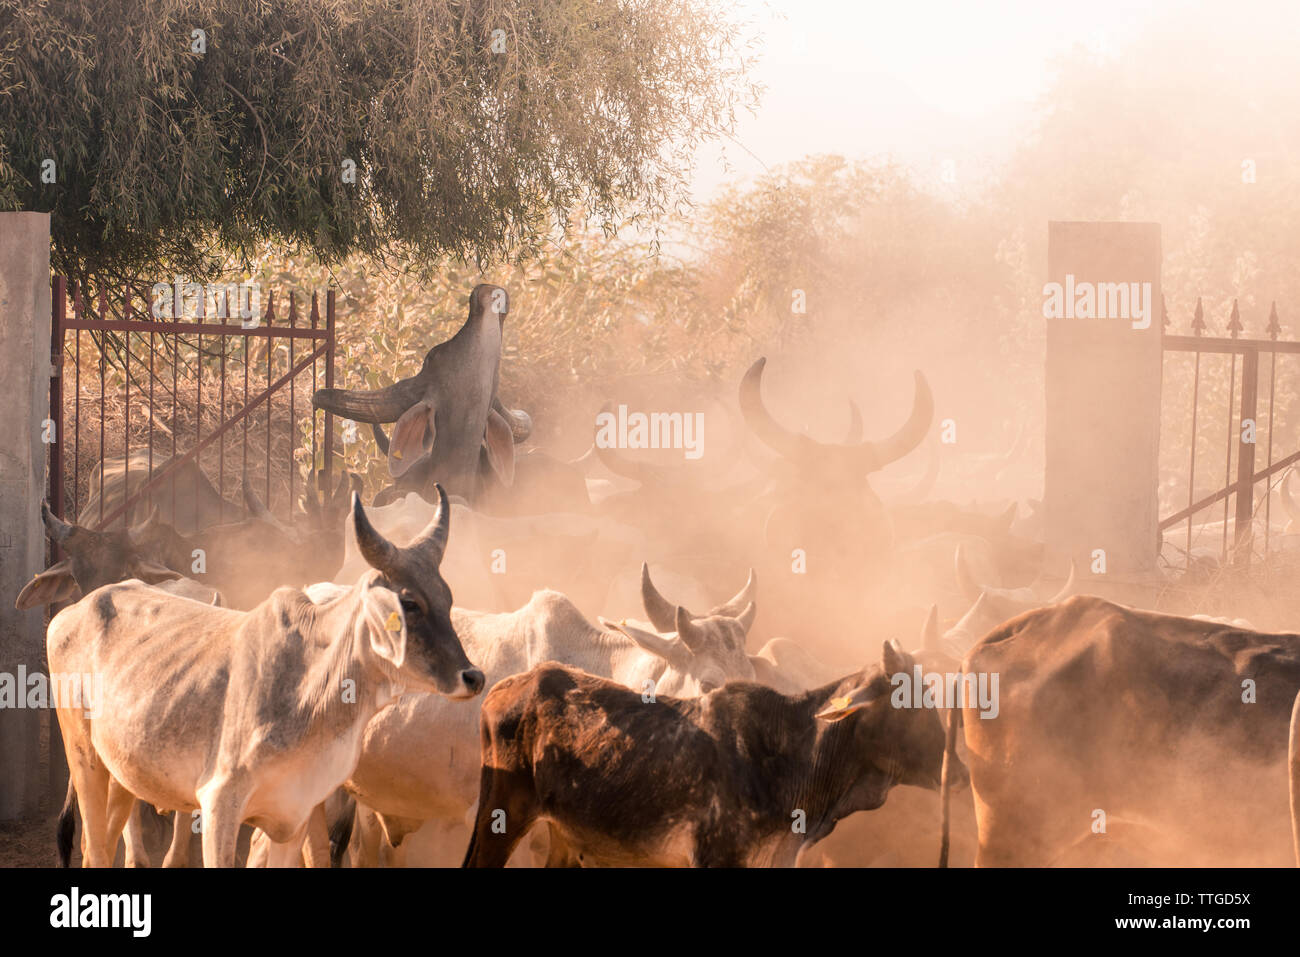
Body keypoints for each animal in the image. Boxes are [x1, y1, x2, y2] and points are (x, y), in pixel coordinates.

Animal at [47, 486, 483, 867]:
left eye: (447, 597)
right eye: (409, 603)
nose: (473, 677)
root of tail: (73, 610)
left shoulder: (294, 818)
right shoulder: (219, 806)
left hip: (122, 771)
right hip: (83, 757)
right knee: (95, 847)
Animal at [463, 640, 965, 867]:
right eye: (905, 701)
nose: (957, 769)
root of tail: (507, 686)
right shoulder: (714, 858)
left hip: (565, 836)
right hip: (501, 817)